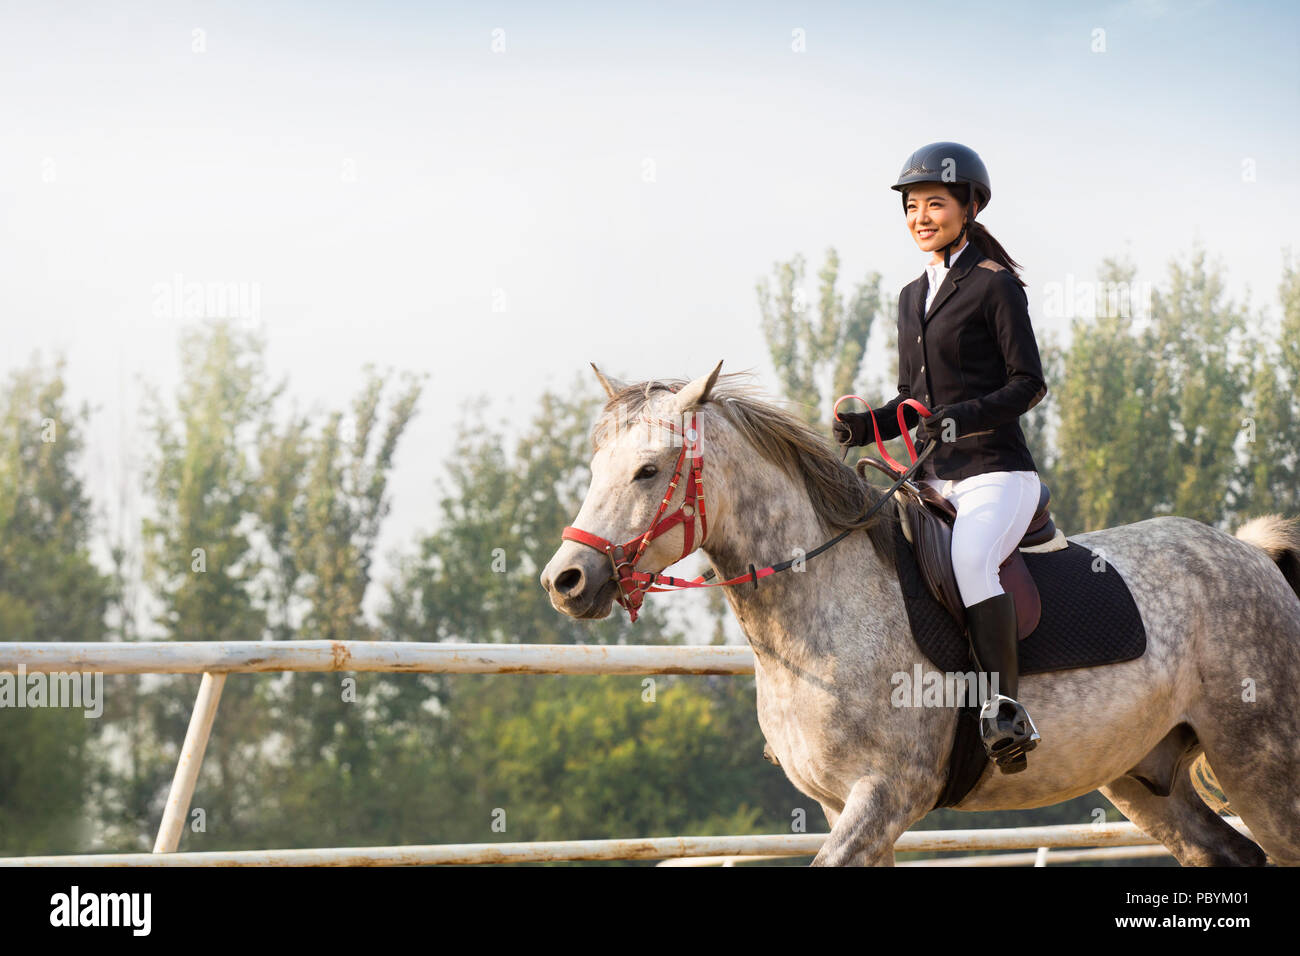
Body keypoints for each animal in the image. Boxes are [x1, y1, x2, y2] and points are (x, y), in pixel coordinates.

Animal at [540, 361, 1300, 866]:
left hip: (1263, 766)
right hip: (1145, 780)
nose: (566, 580)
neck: (822, 609)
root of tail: (1251, 556)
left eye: (648, 470)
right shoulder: (840, 806)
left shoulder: (886, 795)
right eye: (596, 467)